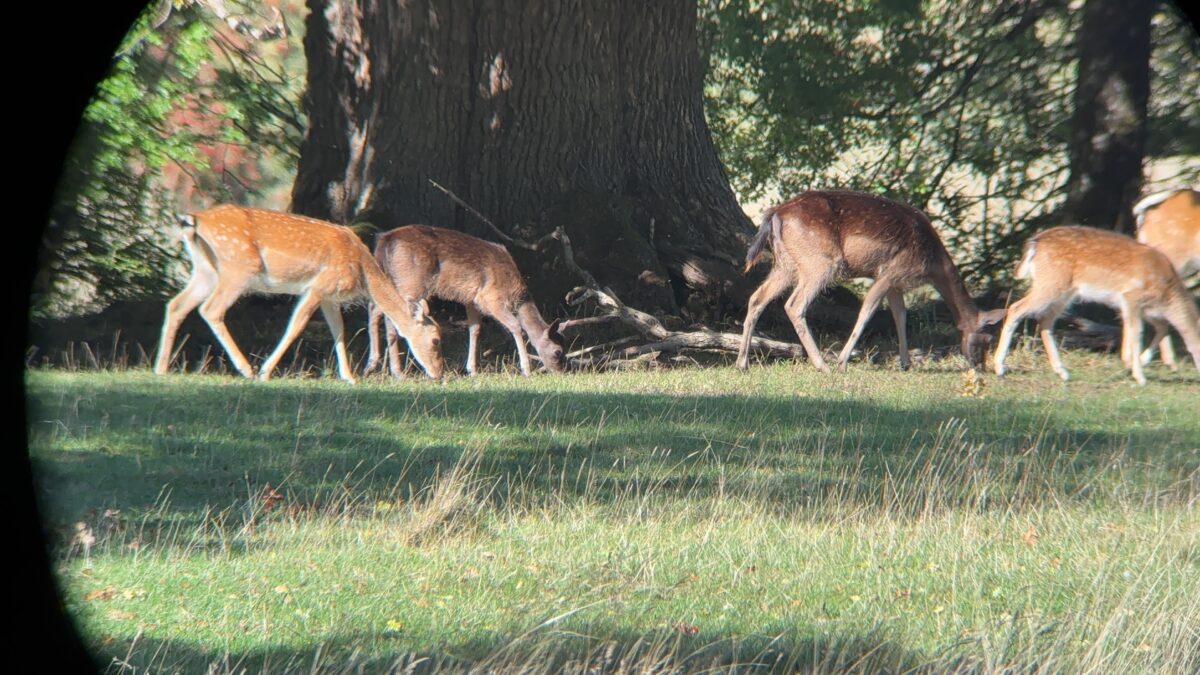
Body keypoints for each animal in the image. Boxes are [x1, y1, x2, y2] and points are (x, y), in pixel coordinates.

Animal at [154, 205, 446, 383]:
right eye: (435, 340)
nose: (439, 373)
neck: (363, 271)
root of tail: (195, 220)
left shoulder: (330, 296)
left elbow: (339, 330)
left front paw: (349, 377)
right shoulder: (319, 286)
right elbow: (297, 324)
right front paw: (266, 371)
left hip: (205, 270)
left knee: (176, 305)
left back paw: (161, 368)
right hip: (238, 268)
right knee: (210, 309)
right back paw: (247, 369)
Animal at [364, 225, 566, 377]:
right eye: (558, 352)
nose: (561, 371)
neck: (518, 295)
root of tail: (384, 240)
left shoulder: (472, 300)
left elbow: (475, 329)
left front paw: (472, 370)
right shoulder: (491, 297)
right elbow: (516, 326)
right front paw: (526, 370)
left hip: (390, 279)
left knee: (375, 307)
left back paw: (372, 365)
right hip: (410, 282)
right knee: (391, 316)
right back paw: (396, 371)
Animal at [736, 190, 1006, 373]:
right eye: (987, 339)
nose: (980, 367)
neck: (934, 263)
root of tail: (775, 214)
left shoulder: (894, 282)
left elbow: (900, 314)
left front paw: (906, 363)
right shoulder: (890, 271)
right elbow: (867, 311)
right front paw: (843, 361)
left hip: (786, 264)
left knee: (757, 297)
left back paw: (743, 362)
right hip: (820, 261)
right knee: (794, 304)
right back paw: (822, 364)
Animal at [991, 226, 1200, 385]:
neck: (1167, 291)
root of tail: (1035, 244)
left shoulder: (1147, 310)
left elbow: (1159, 329)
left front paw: (1133, 362)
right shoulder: (1131, 297)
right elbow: (1138, 332)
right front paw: (1139, 375)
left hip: (1064, 292)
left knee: (1045, 321)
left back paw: (1062, 372)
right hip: (1050, 284)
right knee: (1016, 308)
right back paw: (999, 367)